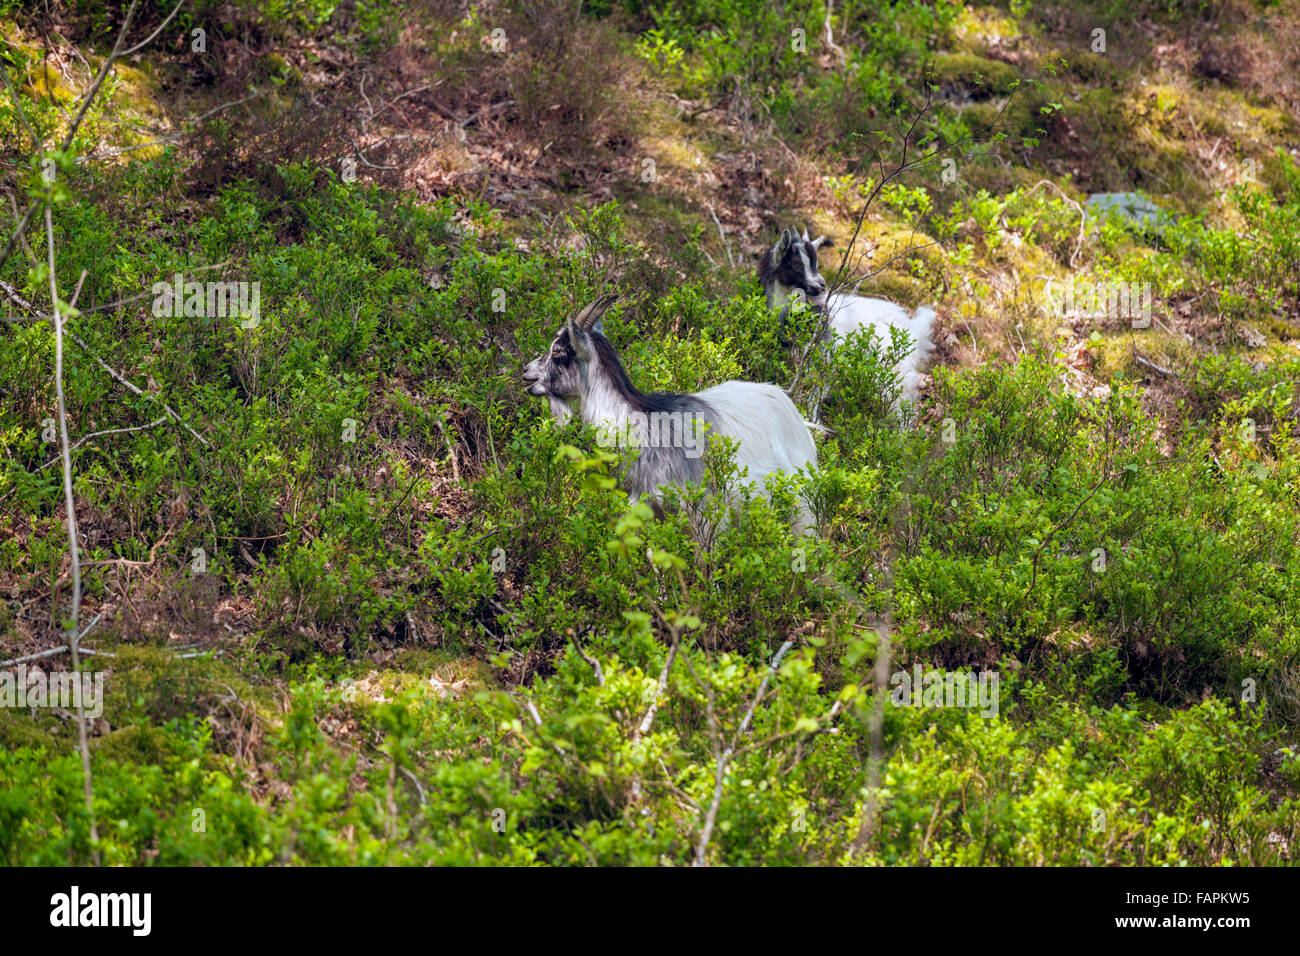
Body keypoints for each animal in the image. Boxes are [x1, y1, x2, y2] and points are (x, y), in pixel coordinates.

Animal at [521, 294, 818, 533]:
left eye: (558, 351)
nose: (526, 372)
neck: (643, 426)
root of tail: (788, 406)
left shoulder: (704, 513)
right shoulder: (649, 508)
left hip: (800, 503)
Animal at [759, 226, 937, 418]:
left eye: (816, 263)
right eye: (797, 263)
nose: (822, 285)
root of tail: (914, 327)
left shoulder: (821, 364)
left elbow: (812, 397)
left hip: (896, 370)